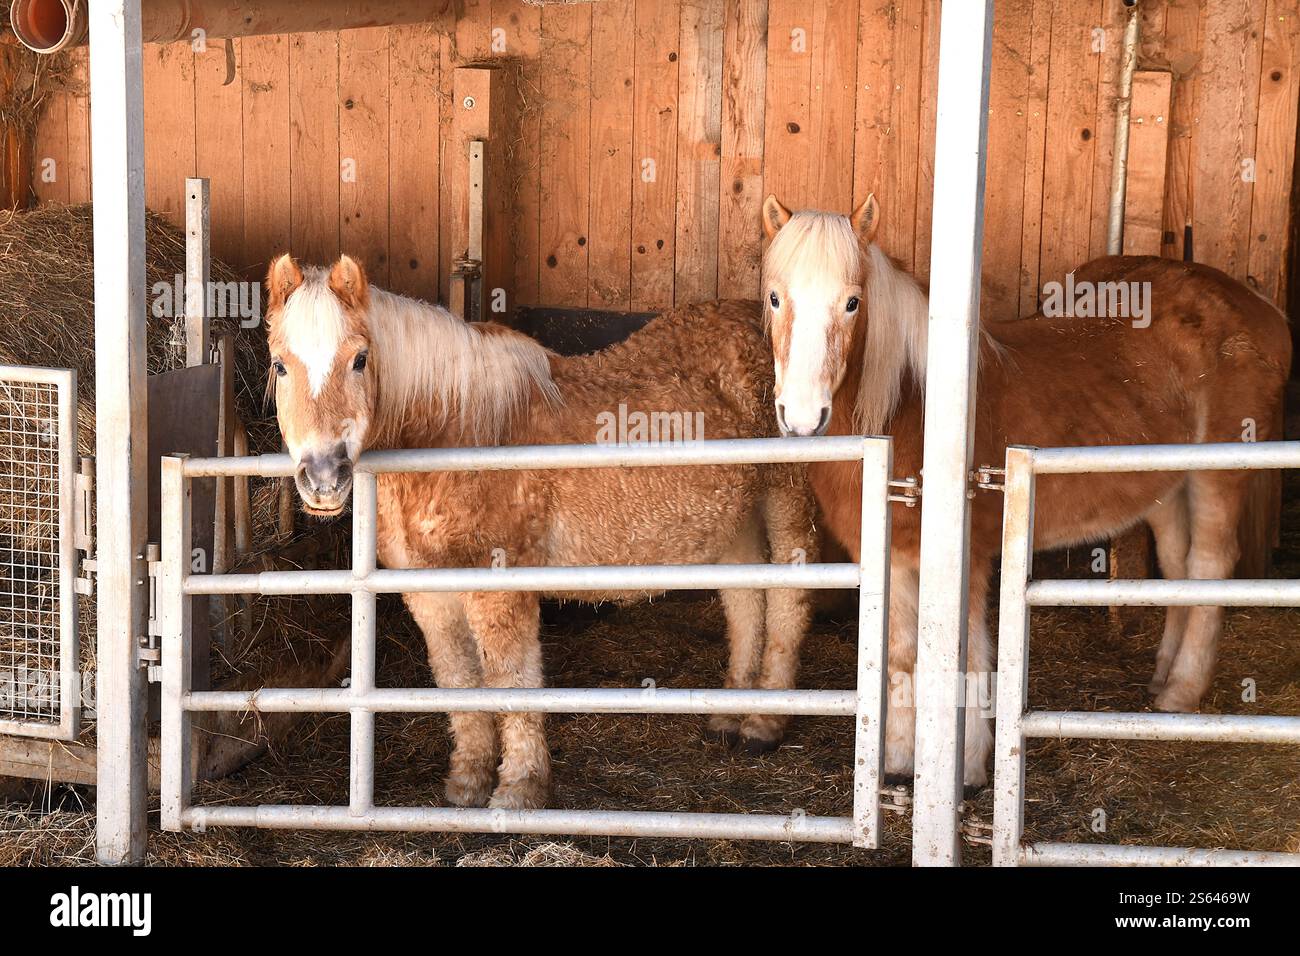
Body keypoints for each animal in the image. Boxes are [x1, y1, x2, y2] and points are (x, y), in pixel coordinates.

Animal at [264, 253, 817, 810]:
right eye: (279, 364)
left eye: (359, 359)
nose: (324, 478)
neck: (455, 432)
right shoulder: (428, 593)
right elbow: (458, 678)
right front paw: (468, 781)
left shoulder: (501, 586)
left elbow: (512, 680)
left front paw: (520, 788)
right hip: (733, 516)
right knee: (745, 598)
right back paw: (729, 714)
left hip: (784, 493)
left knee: (789, 595)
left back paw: (764, 724)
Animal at [760, 193, 1291, 786]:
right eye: (776, 297)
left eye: (852, 302)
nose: (802, 417)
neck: (914, 409)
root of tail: (1257, 305)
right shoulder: (891, 557)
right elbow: (900, 655)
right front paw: (898, 764)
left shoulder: (965, 555)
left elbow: (965, 654)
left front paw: (967, 766)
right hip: (1167, 484)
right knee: (1180, 568)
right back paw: (1162, 679)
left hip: (1216, 474)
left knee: (1210, 563)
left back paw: (1182, 691)